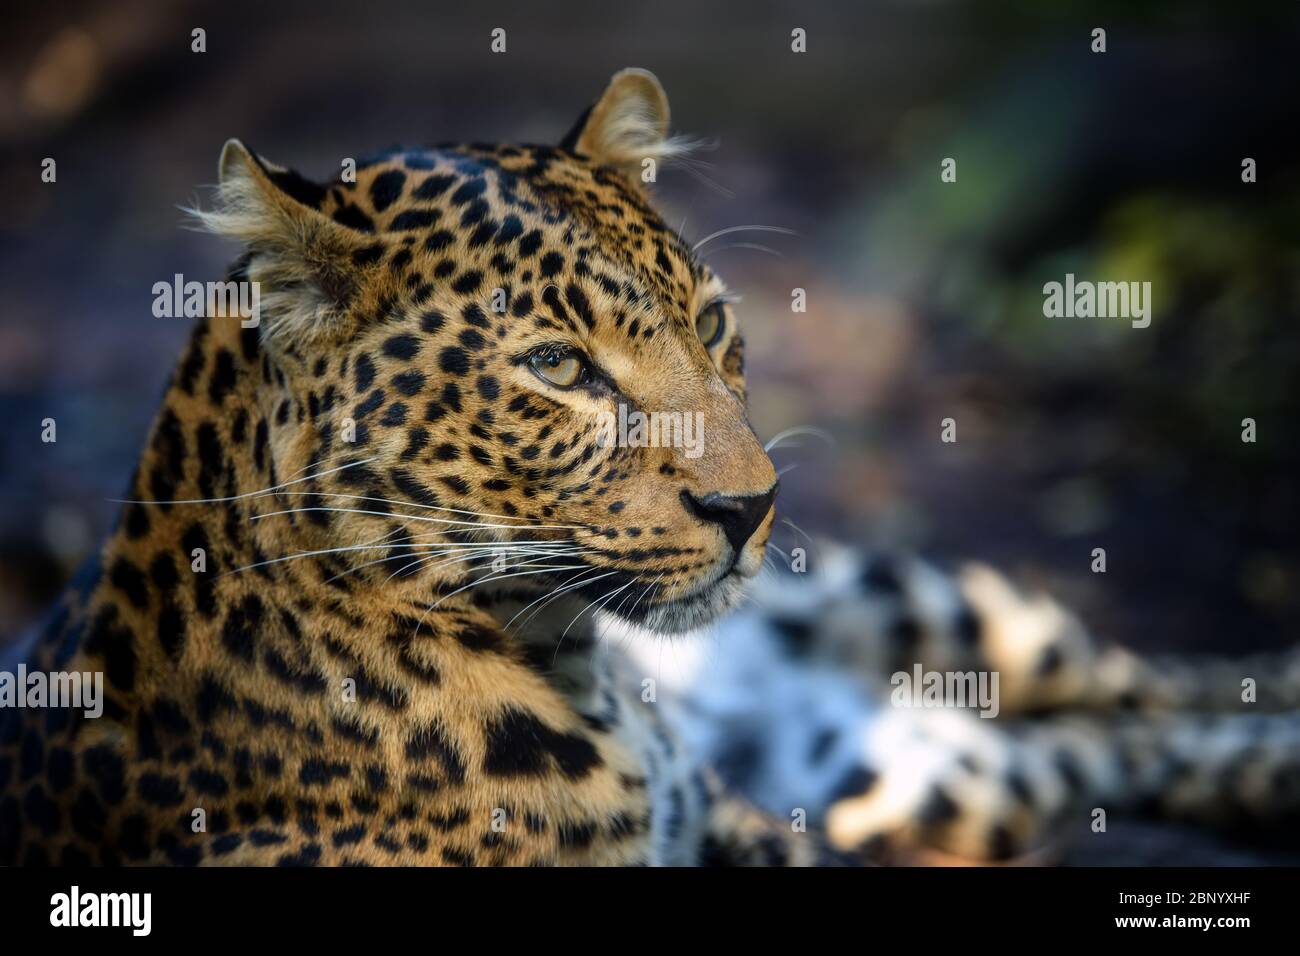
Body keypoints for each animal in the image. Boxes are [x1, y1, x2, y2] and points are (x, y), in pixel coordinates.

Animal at [2, 68, 1298, 866]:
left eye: (712, 326)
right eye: (558, 366)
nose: (752, 505)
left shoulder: (744, 822)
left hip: (929, 606)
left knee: (1136, 683)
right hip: (937, 771)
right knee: (1096, 743)